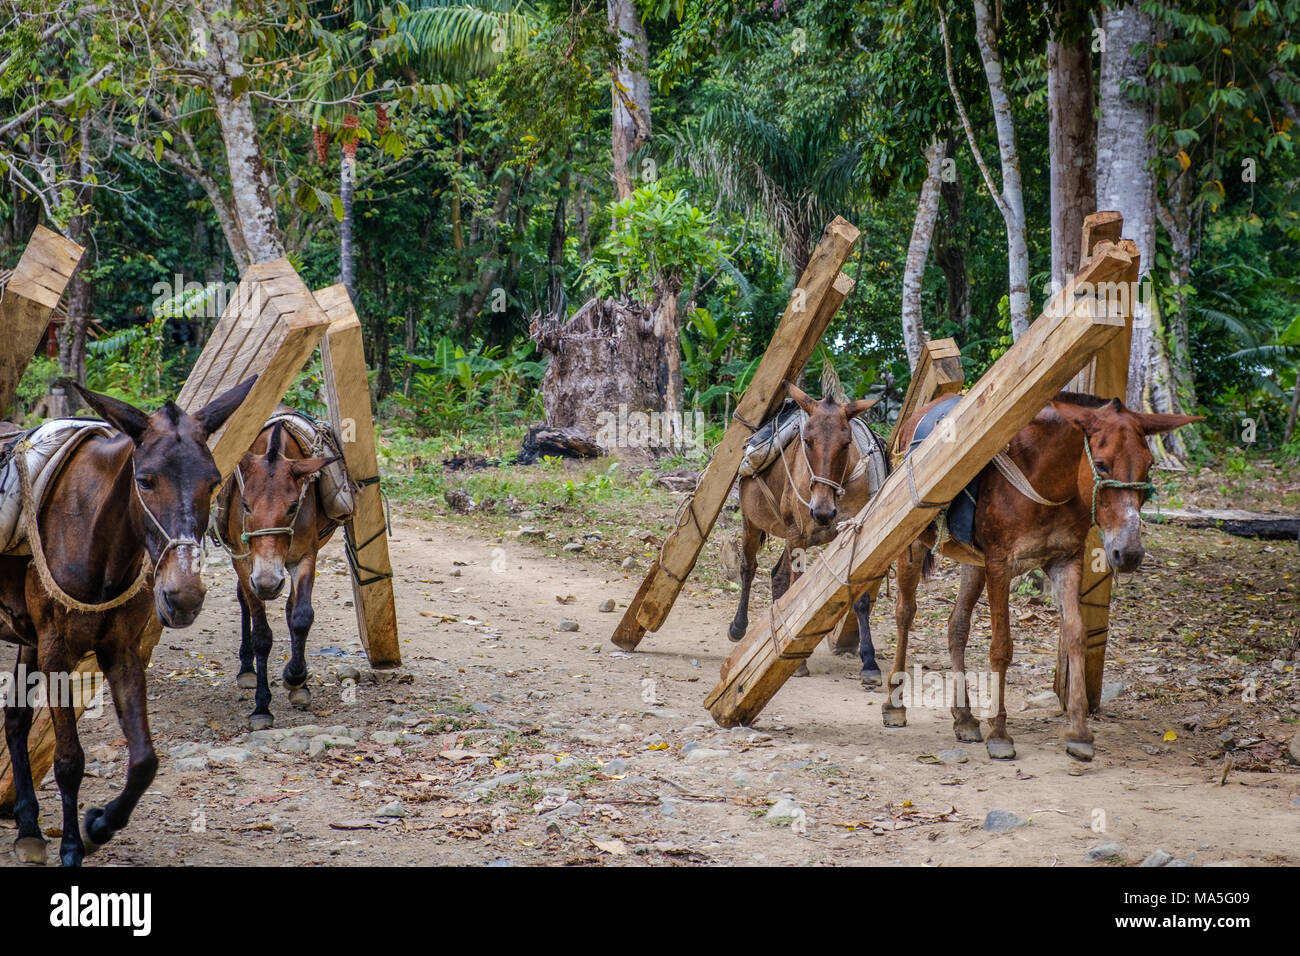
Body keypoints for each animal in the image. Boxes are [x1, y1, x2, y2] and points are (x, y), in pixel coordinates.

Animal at [0, 377, 254, 866]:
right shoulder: (57, 650)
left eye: (214, 483)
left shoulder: (121, 648)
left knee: (16, 717)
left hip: (27, 638)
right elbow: (69, 760)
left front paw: (98, 826)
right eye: (145, 481)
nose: (184, 596)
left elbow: (144, 761)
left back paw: (28, 828)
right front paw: (72, 846)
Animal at [212, 416, 336, 730]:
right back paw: (246, 669)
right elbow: (261, 634)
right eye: (246, 505)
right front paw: (261, 706)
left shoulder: (305, 557)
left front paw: (296, 678)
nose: (268, 584)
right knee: (243, 600)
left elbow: (302, 616)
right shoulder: (245, 562)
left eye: (292, 508)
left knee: (291, 608)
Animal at [730, 383, 884, 684]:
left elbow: (859, 598)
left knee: (777, 576)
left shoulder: (850, 531)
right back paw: (739, 627)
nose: (822, 512)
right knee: (749, 567)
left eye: (845, 444)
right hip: (754, 523)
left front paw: (869, 663)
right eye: (807, 441)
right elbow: (796, 590)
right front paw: (798, 663)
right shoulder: (797, 534)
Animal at [876, 392, 1199, 761]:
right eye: (1102, 465)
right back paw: (895, 704)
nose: (1129, 553)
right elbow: (1001, 646)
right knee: (905, 613)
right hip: (911, 544)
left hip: (972, 561)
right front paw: (1000, 733)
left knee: (956, 625)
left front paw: (1079, 732)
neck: (1048, 480)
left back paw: (965, 718)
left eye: (1149, 465)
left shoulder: (1065, 561)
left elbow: (1076, 636)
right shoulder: (1000, 564)